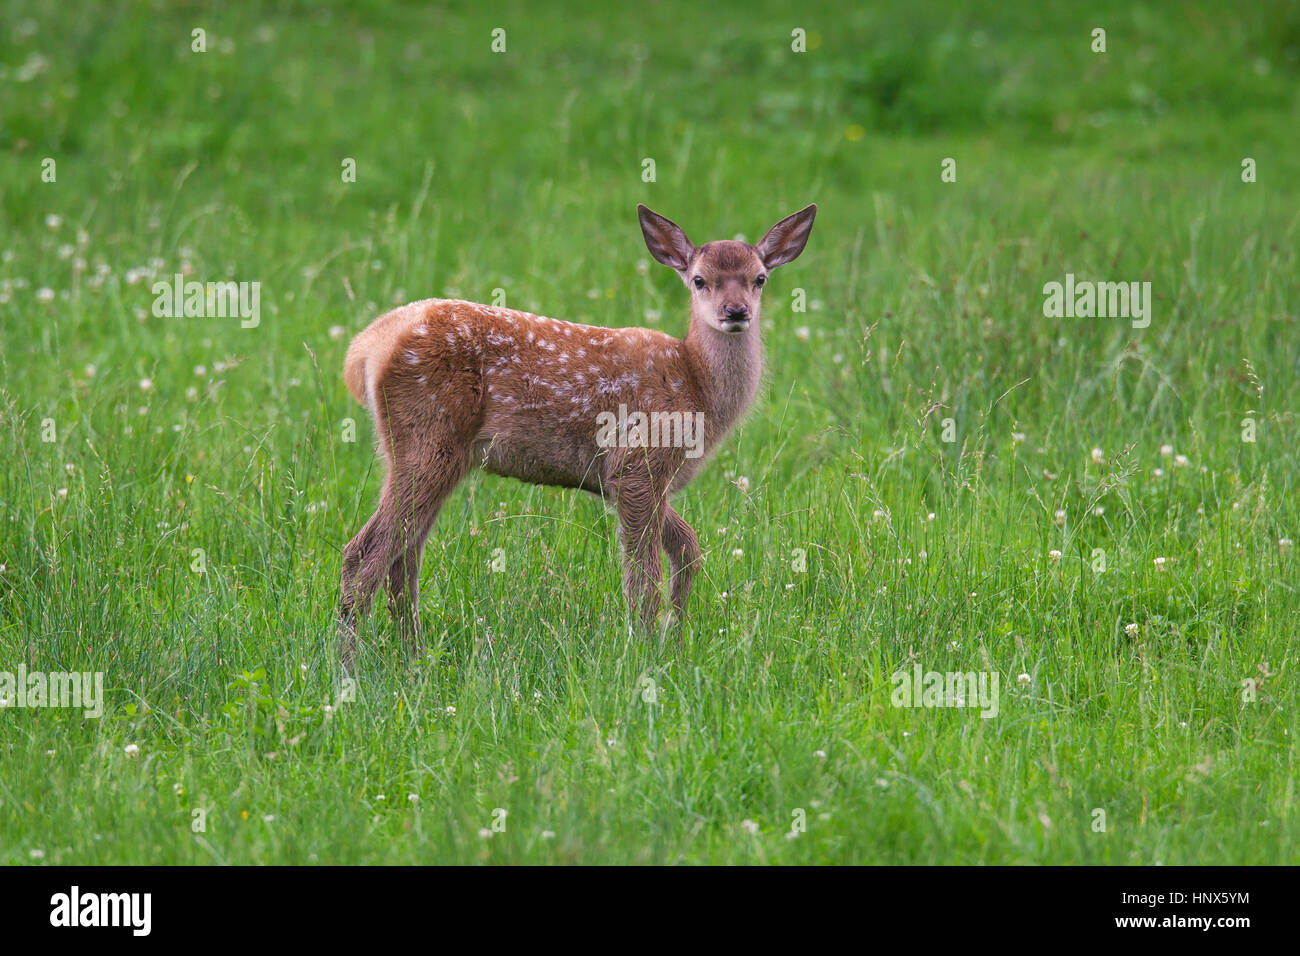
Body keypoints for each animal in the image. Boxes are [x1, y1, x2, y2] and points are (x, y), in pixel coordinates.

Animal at [338, 203, 816, 667]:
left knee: (404, 555)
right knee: (365, 552)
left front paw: (675, 644)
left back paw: (413, 657)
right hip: (429, 435)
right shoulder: (638, 463)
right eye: (700, 280)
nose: (736, 312)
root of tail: (368, 346)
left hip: (421, 451)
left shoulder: (634, 480)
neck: (696, 383)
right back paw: (348, 666)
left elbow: (688, 550)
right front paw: (644, 655)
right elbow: (644, 580)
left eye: (759, 279)